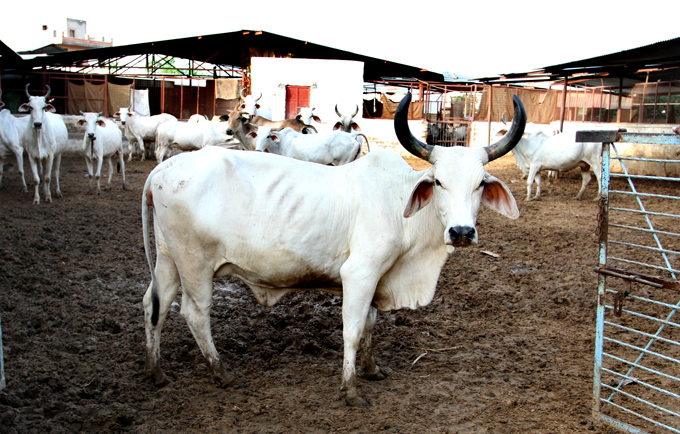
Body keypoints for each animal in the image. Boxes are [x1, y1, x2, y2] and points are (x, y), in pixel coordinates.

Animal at [140, 92, 526, 407]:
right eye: (439, 182)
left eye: (480, 184)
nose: (461, 232)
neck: (399, 203)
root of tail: (167, 166)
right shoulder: (360, 273)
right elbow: (352, 330)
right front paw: (351, 389)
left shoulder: (378, 277)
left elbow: (370, 323)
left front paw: (372, 369)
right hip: (195, 264)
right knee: (194, 313)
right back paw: (222, 373)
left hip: (168, 259)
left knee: (154, 304)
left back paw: (156, 372)